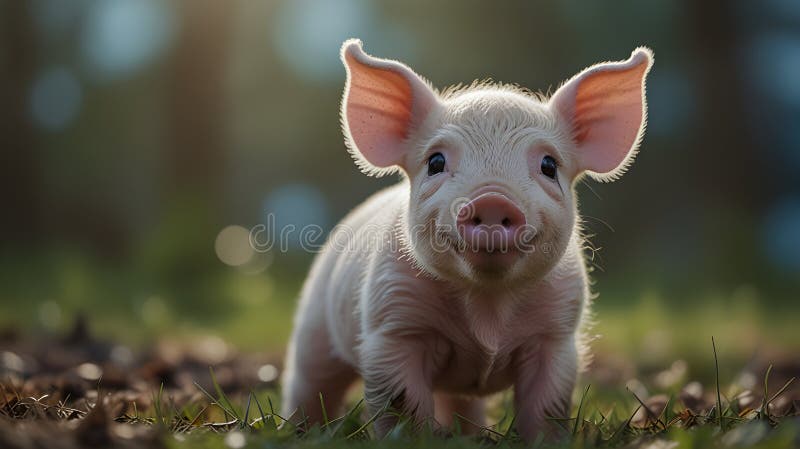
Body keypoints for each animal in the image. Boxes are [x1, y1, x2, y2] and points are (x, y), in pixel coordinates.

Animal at [281, 39, 653, 441]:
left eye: (549, 166)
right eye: (436, 162)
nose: (492, 200)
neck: (487, 307)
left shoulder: (557, 336)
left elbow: (546, 407)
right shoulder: (392, 327)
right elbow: (401, 406)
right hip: (314, 328)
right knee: (308, 383)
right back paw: (299, 429)